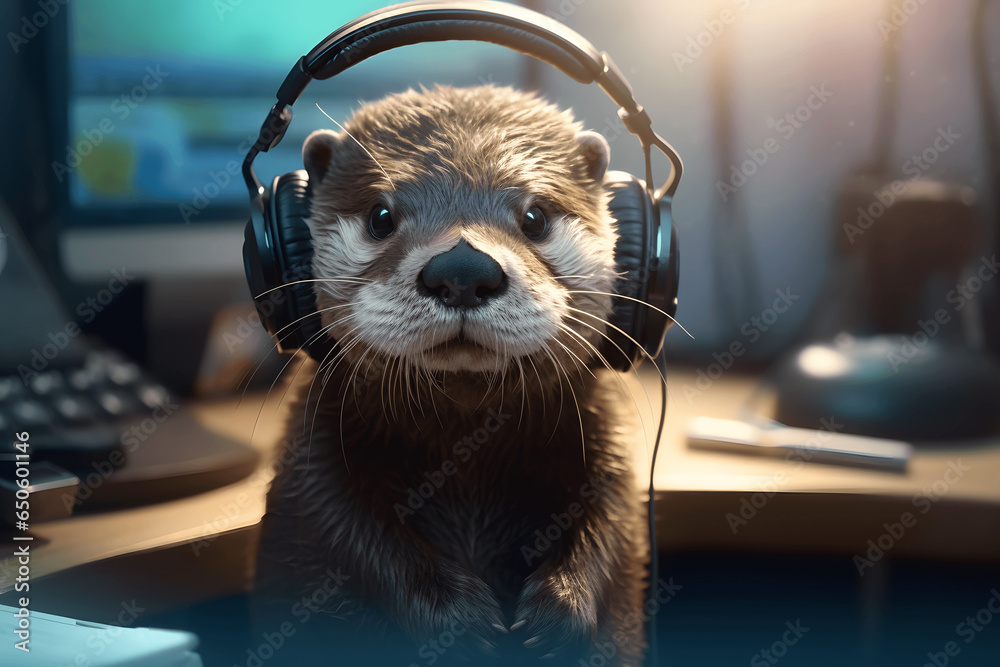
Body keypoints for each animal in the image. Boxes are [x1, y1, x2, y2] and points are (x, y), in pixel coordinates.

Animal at [253, 85, 650, 666]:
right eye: (381, 215)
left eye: (535, 217)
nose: (463, 269)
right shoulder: (310, 447)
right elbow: (345, 525)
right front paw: (458, 620)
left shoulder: (609, 439)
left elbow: (611, 515)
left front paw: (560, 610)